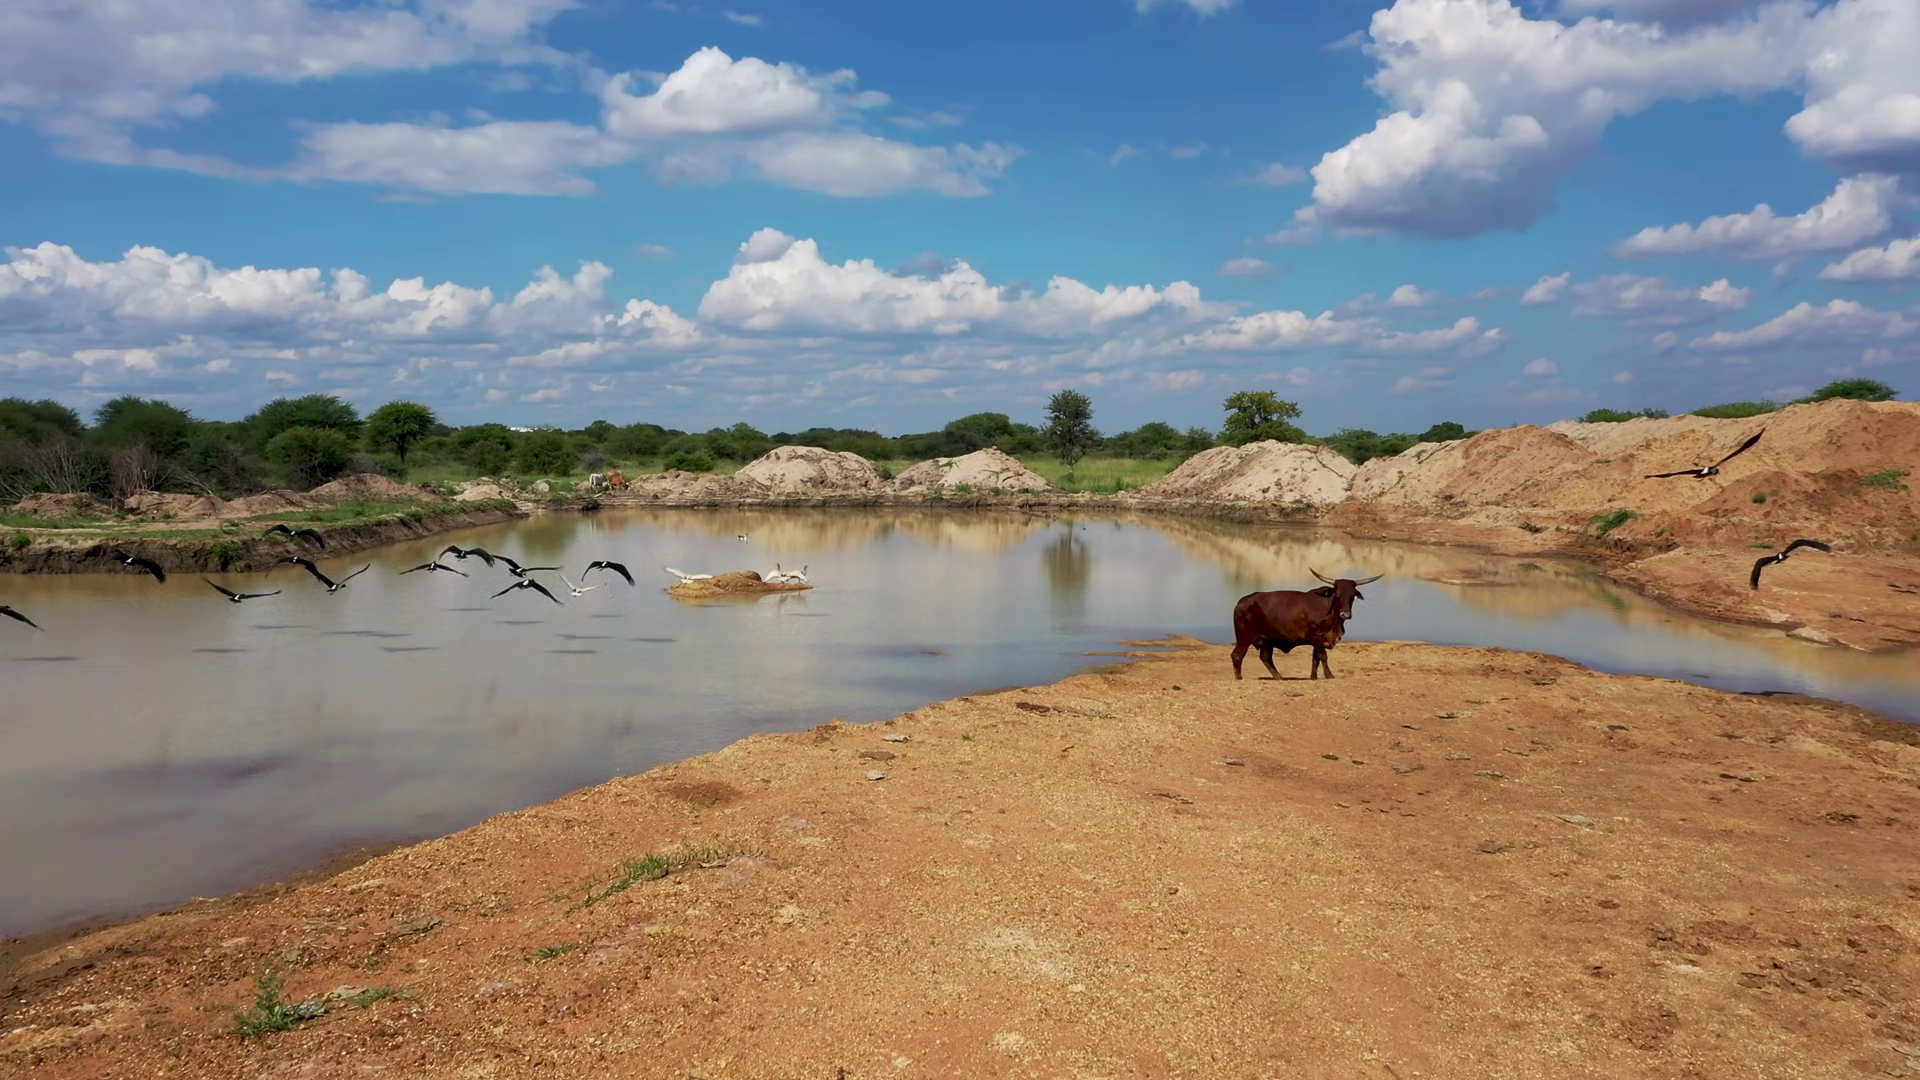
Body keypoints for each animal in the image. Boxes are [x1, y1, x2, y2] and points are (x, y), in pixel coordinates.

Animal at [1230, 569, 1382, 681]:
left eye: (1352, 596)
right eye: (1338, 595)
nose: (1346, 615)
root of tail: (1241, 601)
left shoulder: (1319, 640)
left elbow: (1316, 659)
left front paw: (1313, 677)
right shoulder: (1316, 637)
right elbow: (1323, 656)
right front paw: (1329, 675)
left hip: (1267, 640)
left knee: (1265, 658)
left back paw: (1279, 677)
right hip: (1244, 637)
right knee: (1237, 655)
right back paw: (1239, 678)